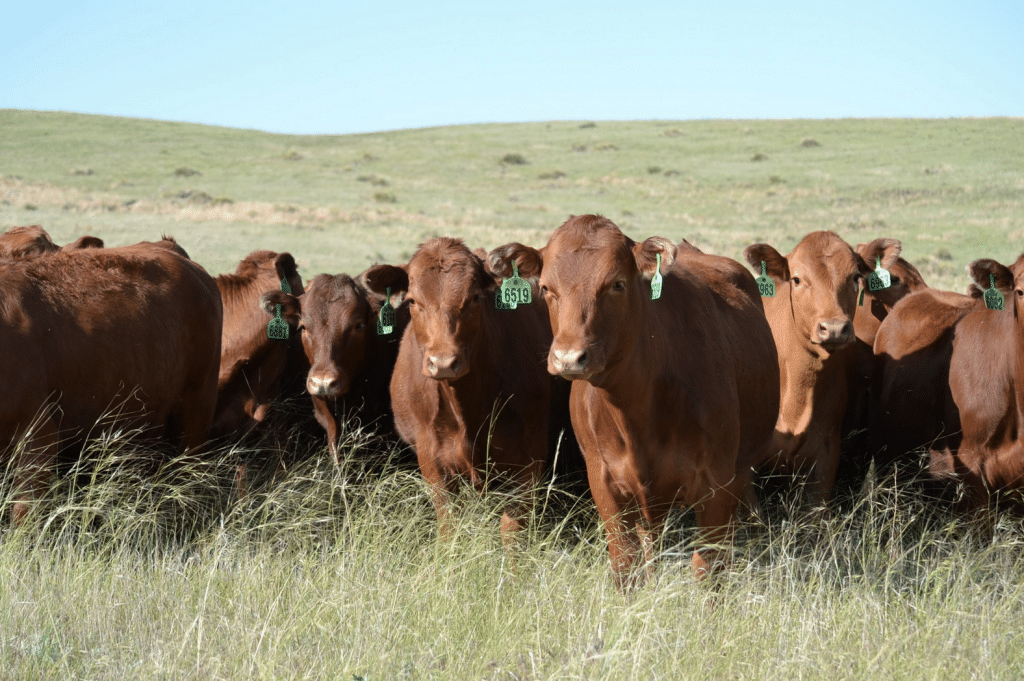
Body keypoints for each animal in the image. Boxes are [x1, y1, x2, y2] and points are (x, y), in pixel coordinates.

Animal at [359, 238, 562, 545]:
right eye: (413, 301)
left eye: (475, 298)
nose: (443, 362)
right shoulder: (434, 464)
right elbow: (449, 528)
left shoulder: (529, 461)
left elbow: (513, 533)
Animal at [492, 215, 779, 587]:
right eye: (545, 288)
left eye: (616, 284)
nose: (569, 358)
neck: (637, 409)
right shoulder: (605, 485)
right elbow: (625, 565)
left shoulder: (716, 487)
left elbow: (707, 570)